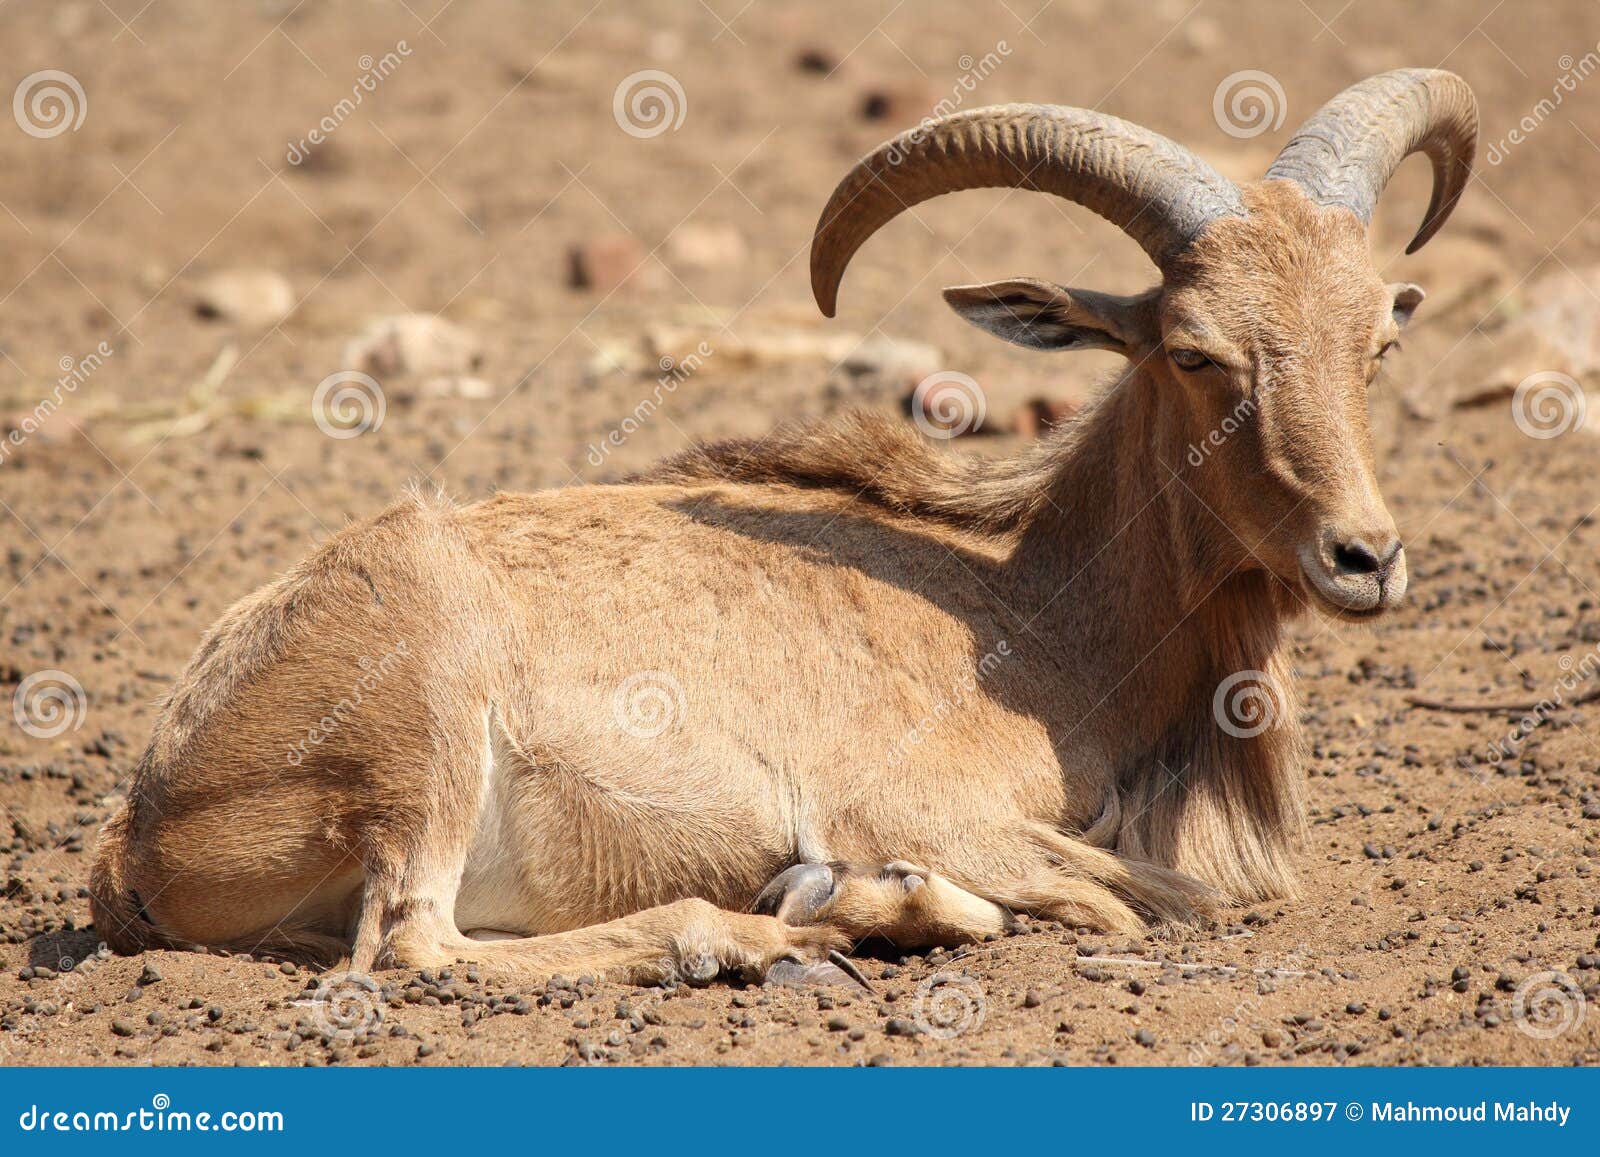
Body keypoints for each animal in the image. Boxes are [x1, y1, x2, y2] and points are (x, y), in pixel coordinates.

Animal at [89, 69, 1478, 986]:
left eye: (1379, 340)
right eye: (1193, 351)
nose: (1364, 557)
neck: (1037, 615)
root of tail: (144, 822)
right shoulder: (932, 804)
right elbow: (1146, 901)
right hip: (422, 723)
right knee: (418, 947)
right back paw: (768, 923)